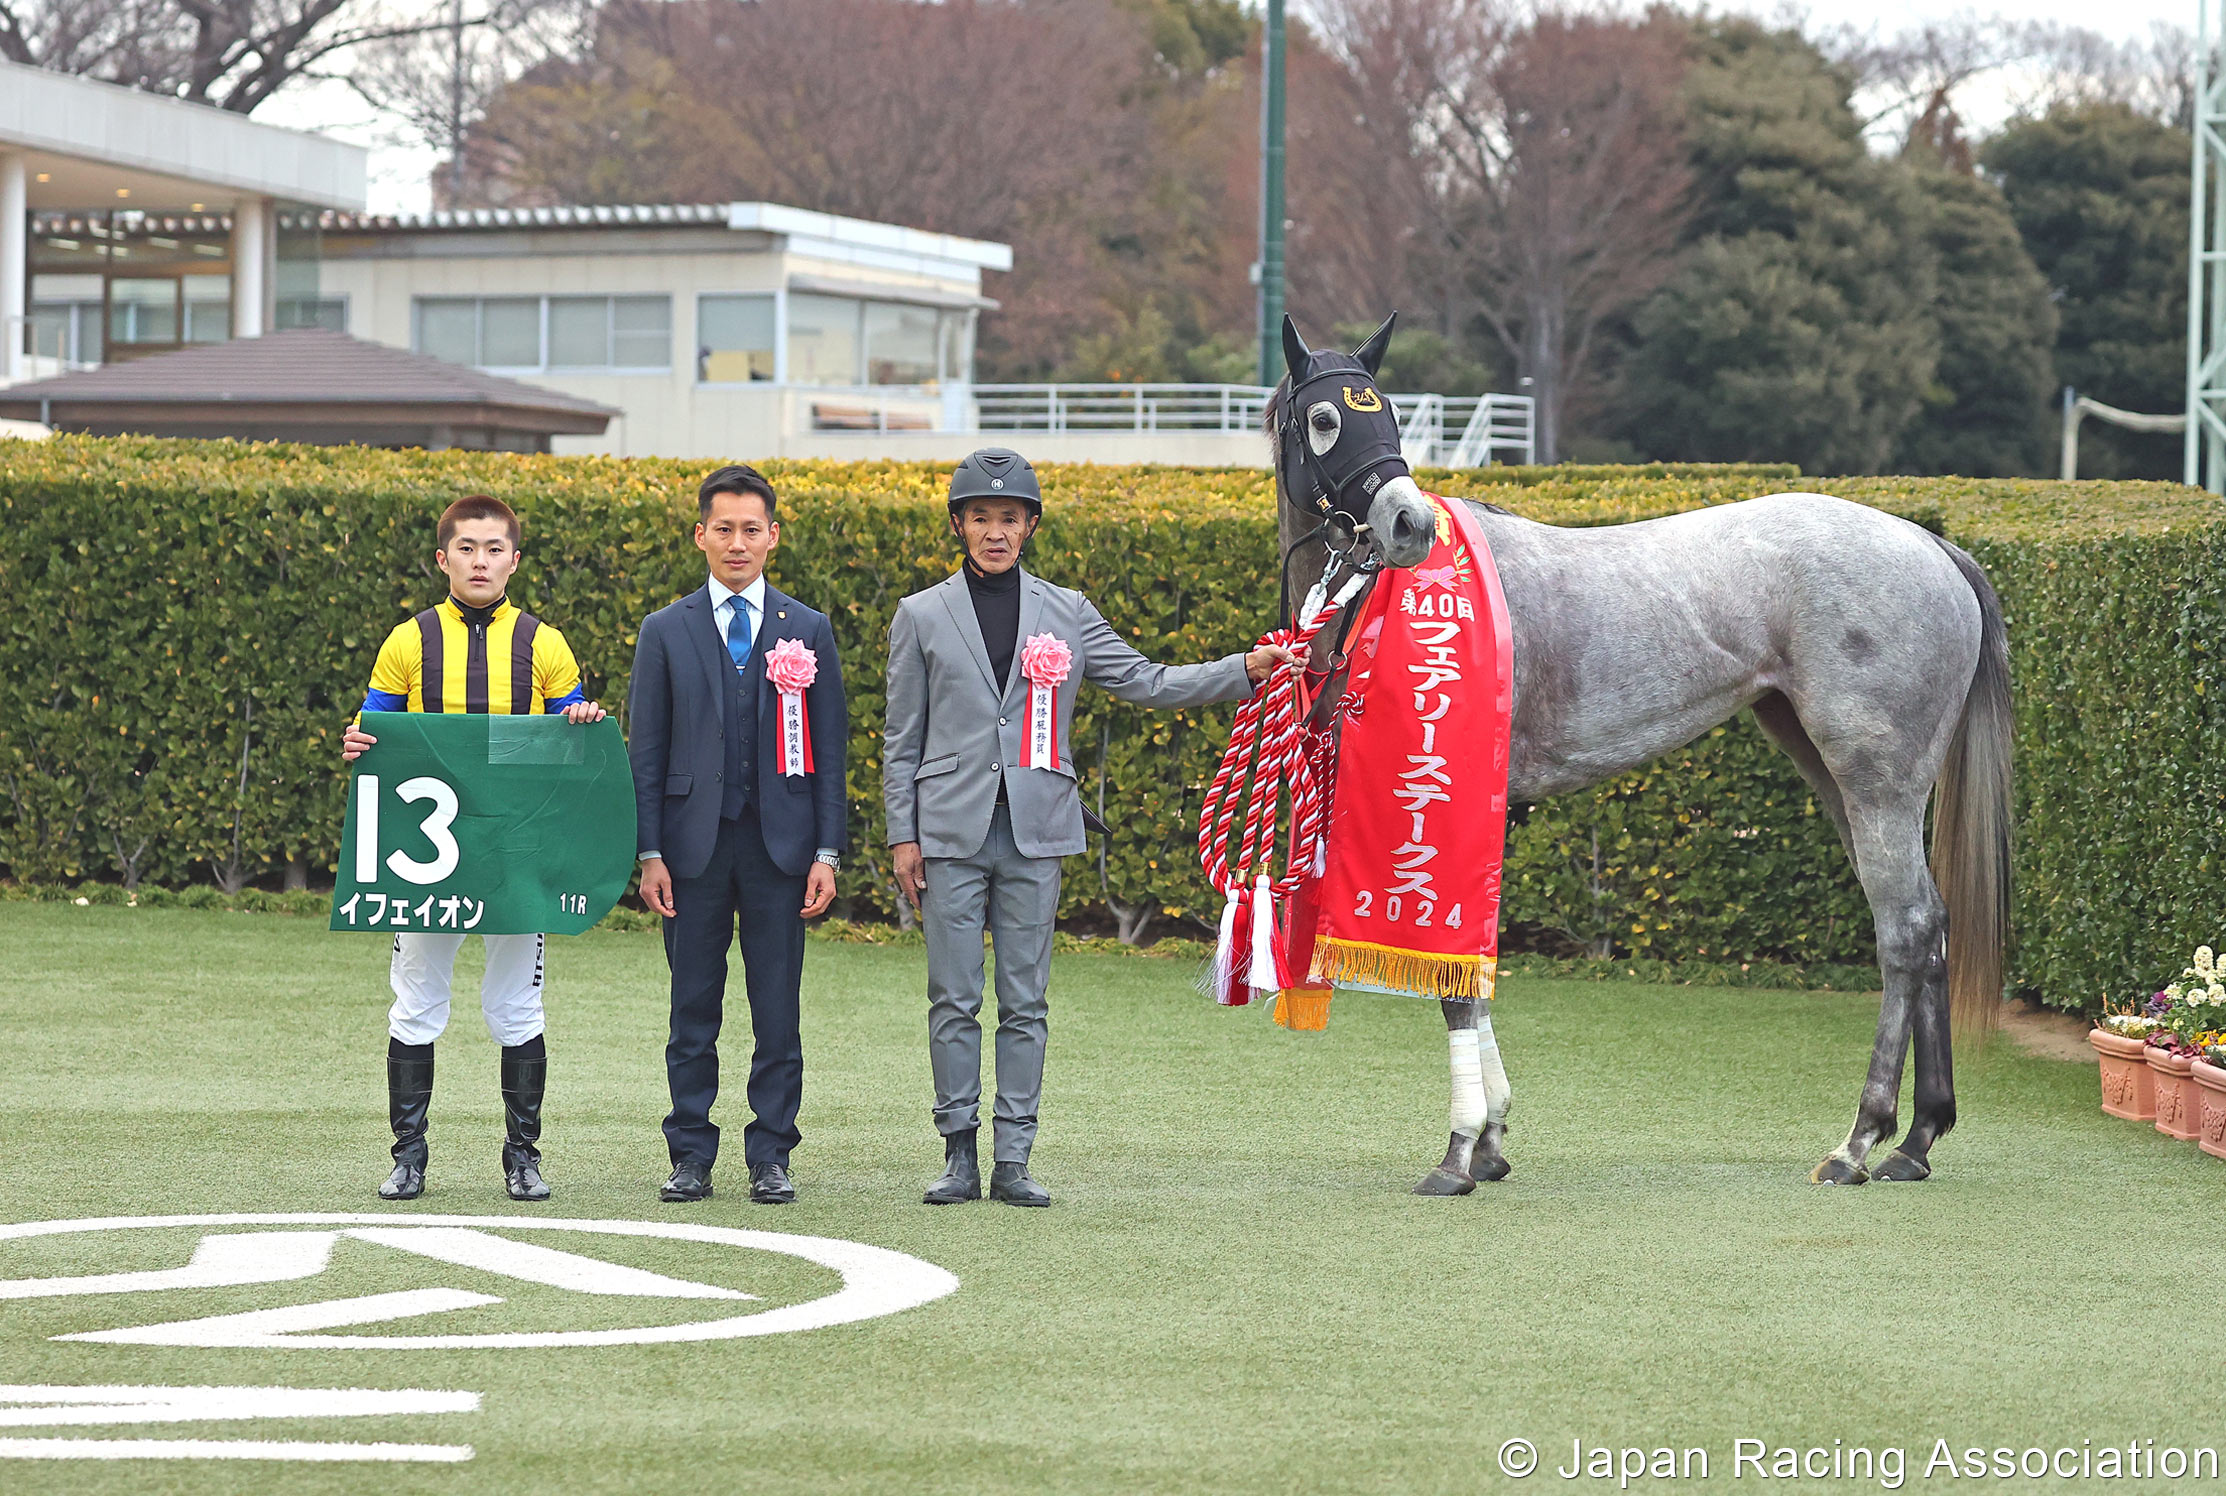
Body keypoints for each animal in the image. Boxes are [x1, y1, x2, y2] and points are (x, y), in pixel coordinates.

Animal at [1268, 313, 2011, 1191]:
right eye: (1326, 418)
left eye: (1382, 408)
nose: (1408, 524)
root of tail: (1930, 546)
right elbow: (1473, 973)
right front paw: (1491, 1141)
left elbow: (1458, 980)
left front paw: (1458, 1150)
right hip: (1836, 776)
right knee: (1928, 929)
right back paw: (1917, 1139)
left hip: (1877, 783)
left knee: (1905, 928)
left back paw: (1860, 1139)